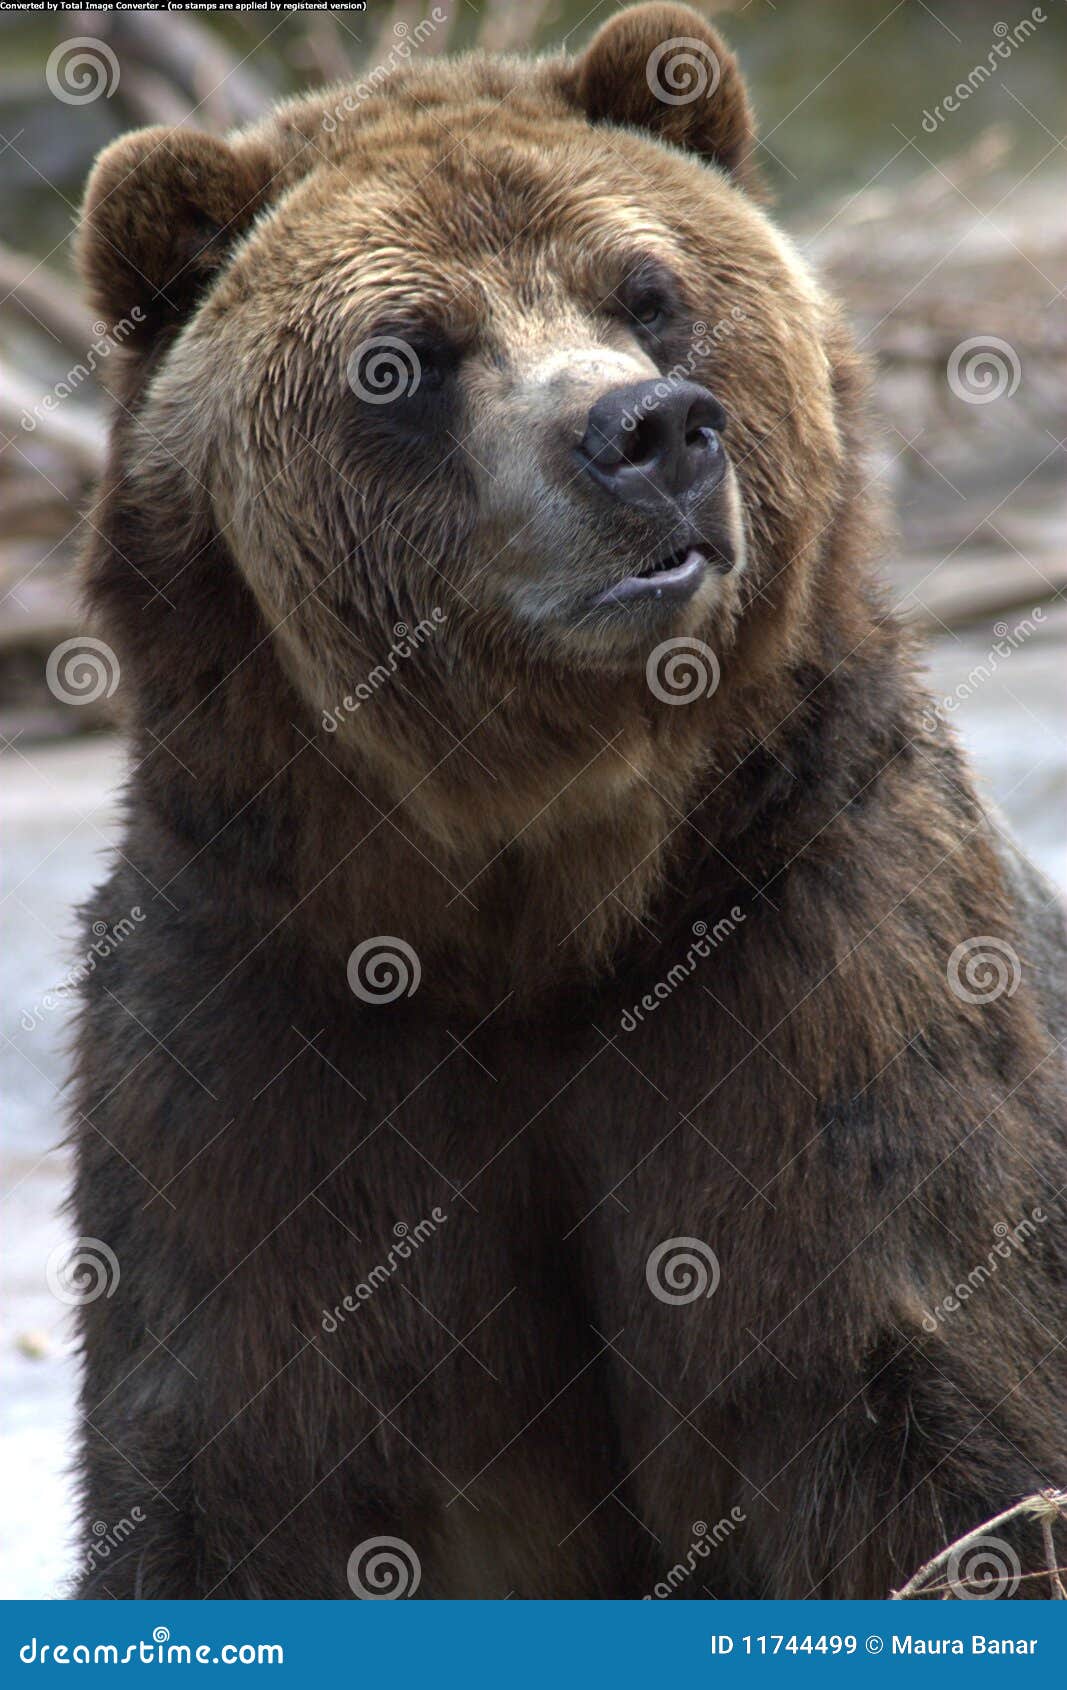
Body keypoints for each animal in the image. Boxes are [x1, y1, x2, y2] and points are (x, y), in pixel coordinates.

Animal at [67, 2, 1065, 1599]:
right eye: (404, 355)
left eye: (646, 290)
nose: (647, 430)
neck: (535, 905)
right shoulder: (263, 1037)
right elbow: (236, 1475)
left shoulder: (813, 952)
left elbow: (916, 1415)